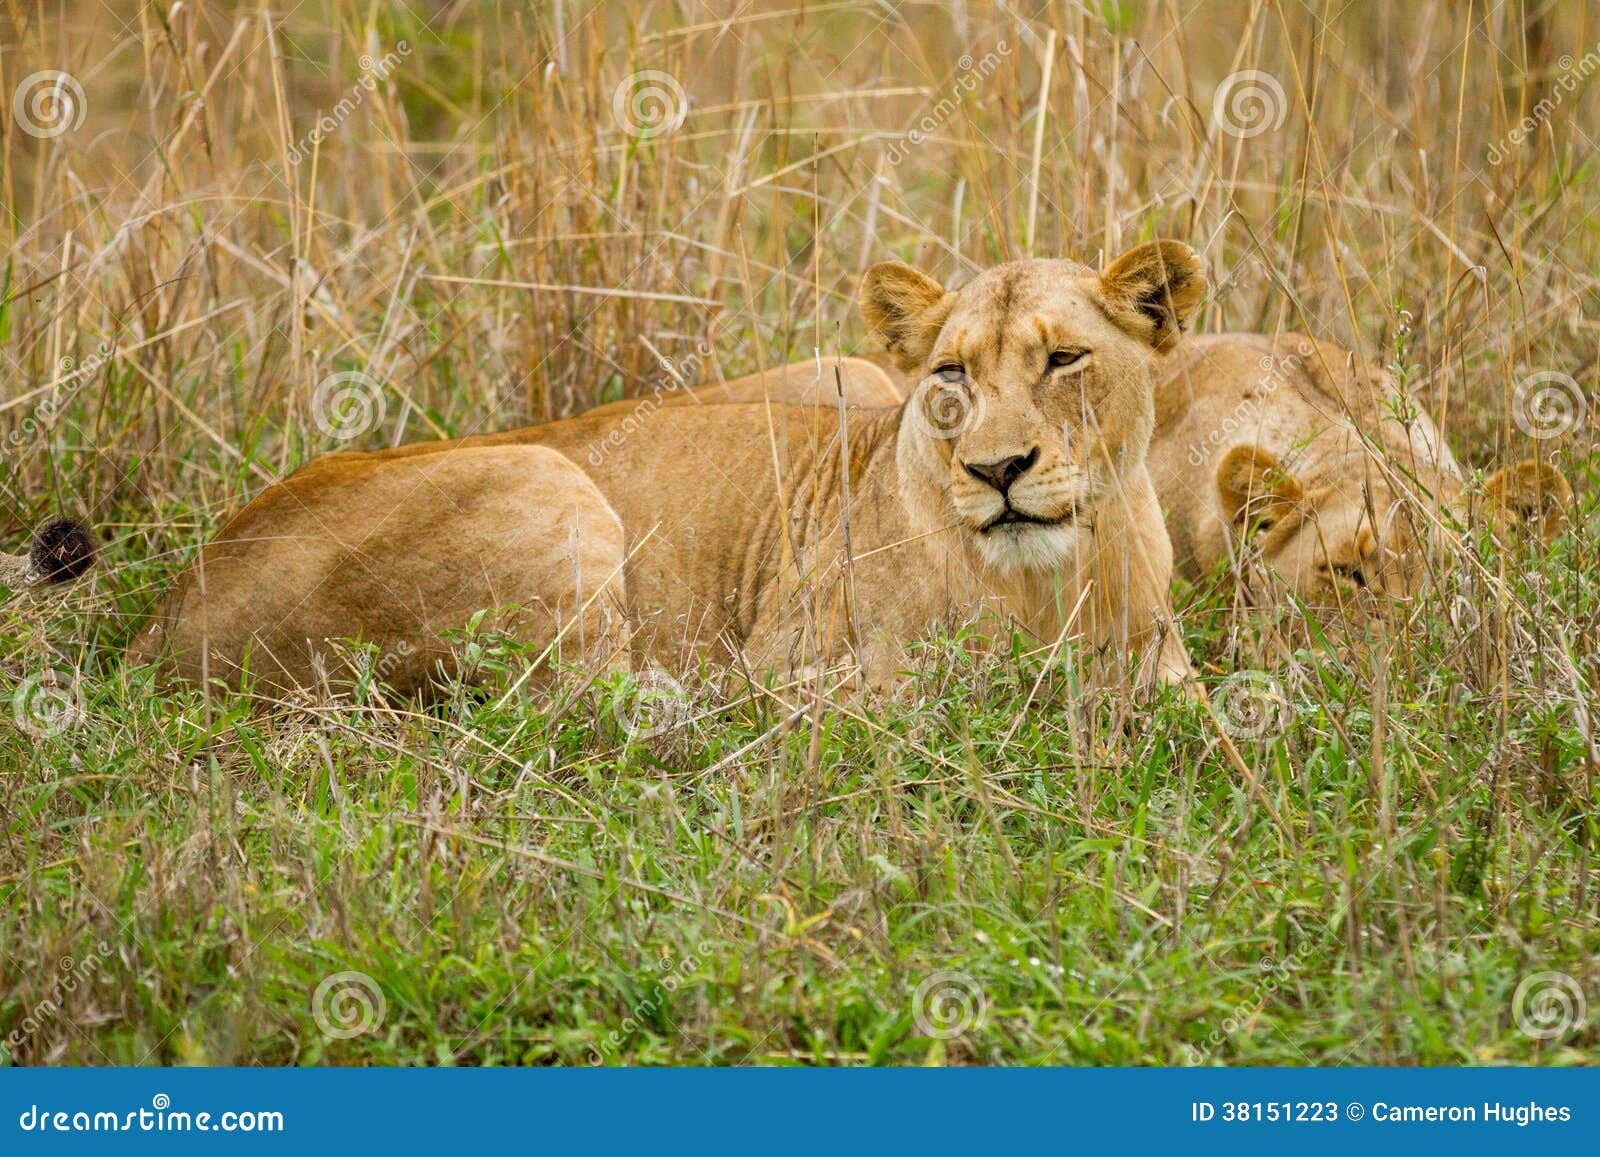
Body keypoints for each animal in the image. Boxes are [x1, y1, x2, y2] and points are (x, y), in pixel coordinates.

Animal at [130, 241, 1205, 696]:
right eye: (953, 374)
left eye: (1063, 359)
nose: (997, 468)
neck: (1053, 582)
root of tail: (159, 619)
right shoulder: (798, 651)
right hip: (549, 484)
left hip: (844, 368)